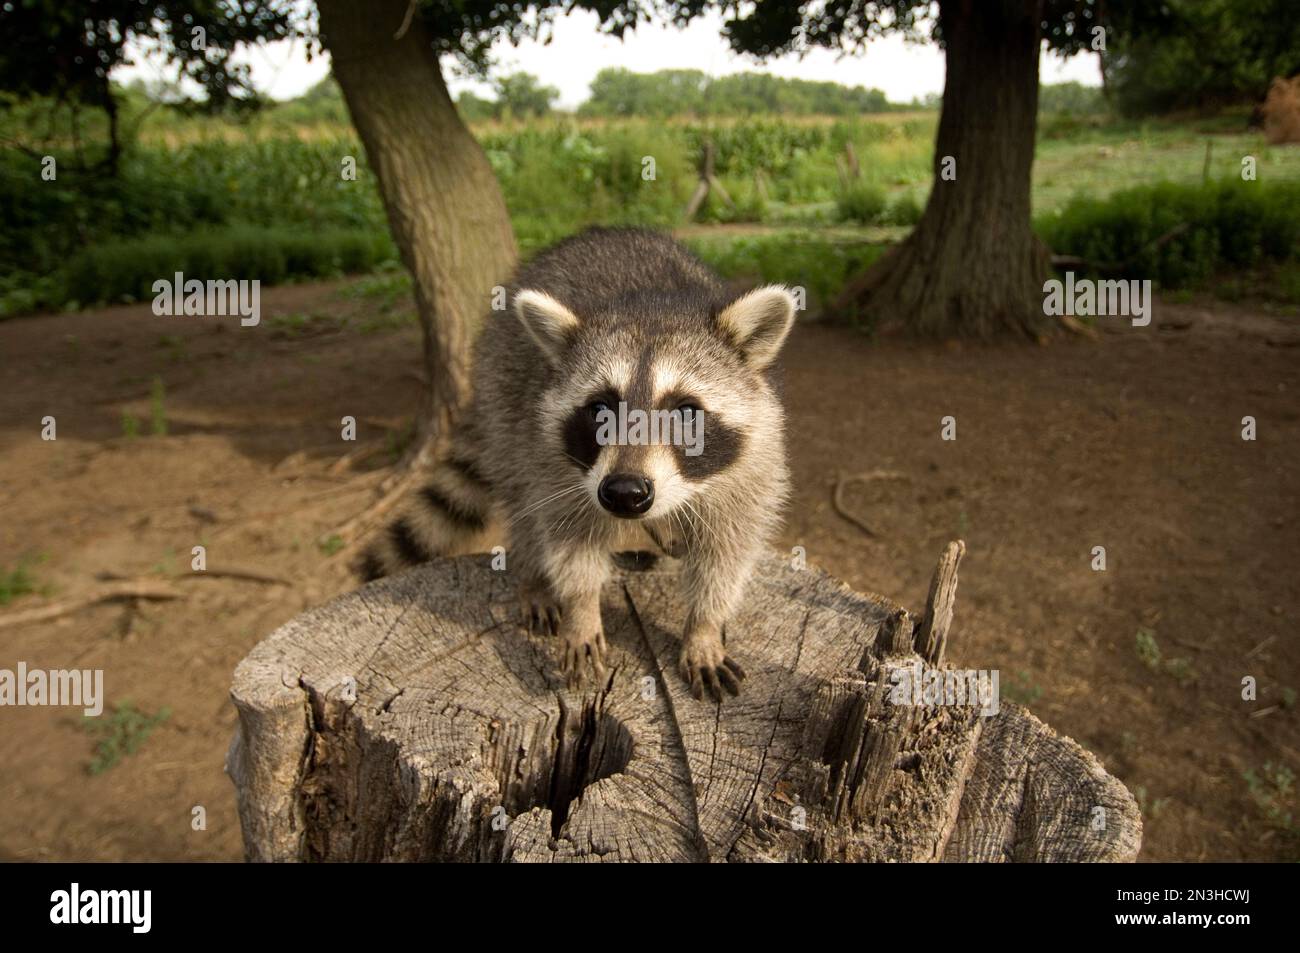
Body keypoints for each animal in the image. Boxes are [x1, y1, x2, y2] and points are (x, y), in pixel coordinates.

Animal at [359, 227, 796, 700]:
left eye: (685, 412)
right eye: (600, 410)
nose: (625, 493)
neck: (655, 304)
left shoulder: (754, 464)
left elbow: (726, 553)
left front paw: (704, 627)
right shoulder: (559, 468)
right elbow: (571, 541)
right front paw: (582, 609)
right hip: (504, 397)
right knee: (521, 497)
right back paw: (534, 576)